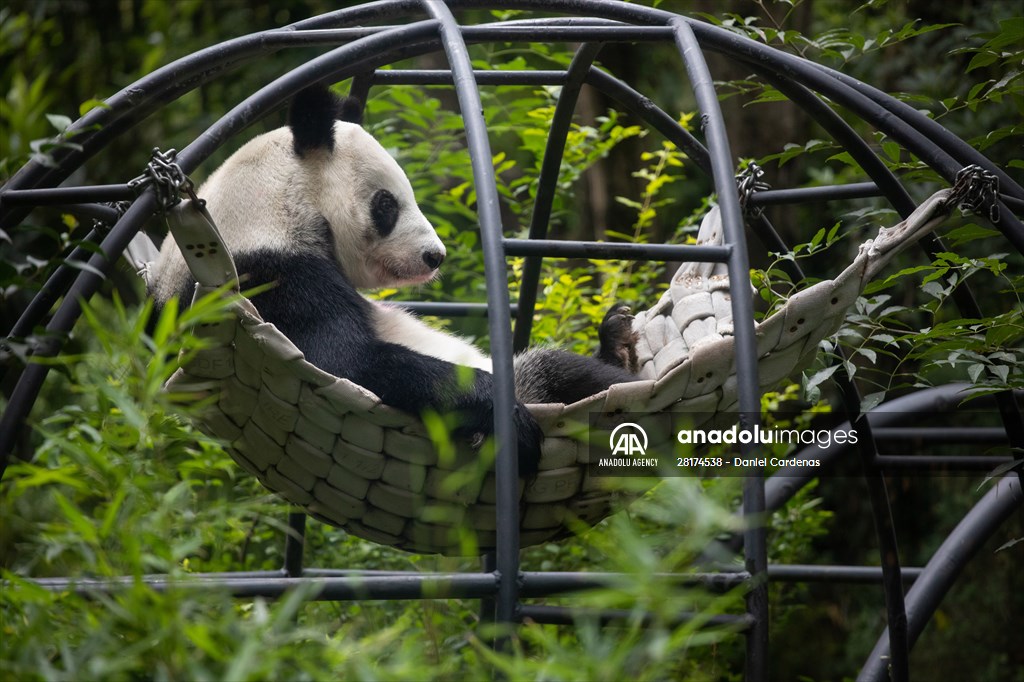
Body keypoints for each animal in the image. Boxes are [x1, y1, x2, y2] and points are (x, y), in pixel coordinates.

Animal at [152, 86, 639, 474]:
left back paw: (618, 346)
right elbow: (350, 362)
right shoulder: (270, 277)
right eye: (387, 204)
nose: (435, 255)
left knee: (569, 370)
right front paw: (511, 425)